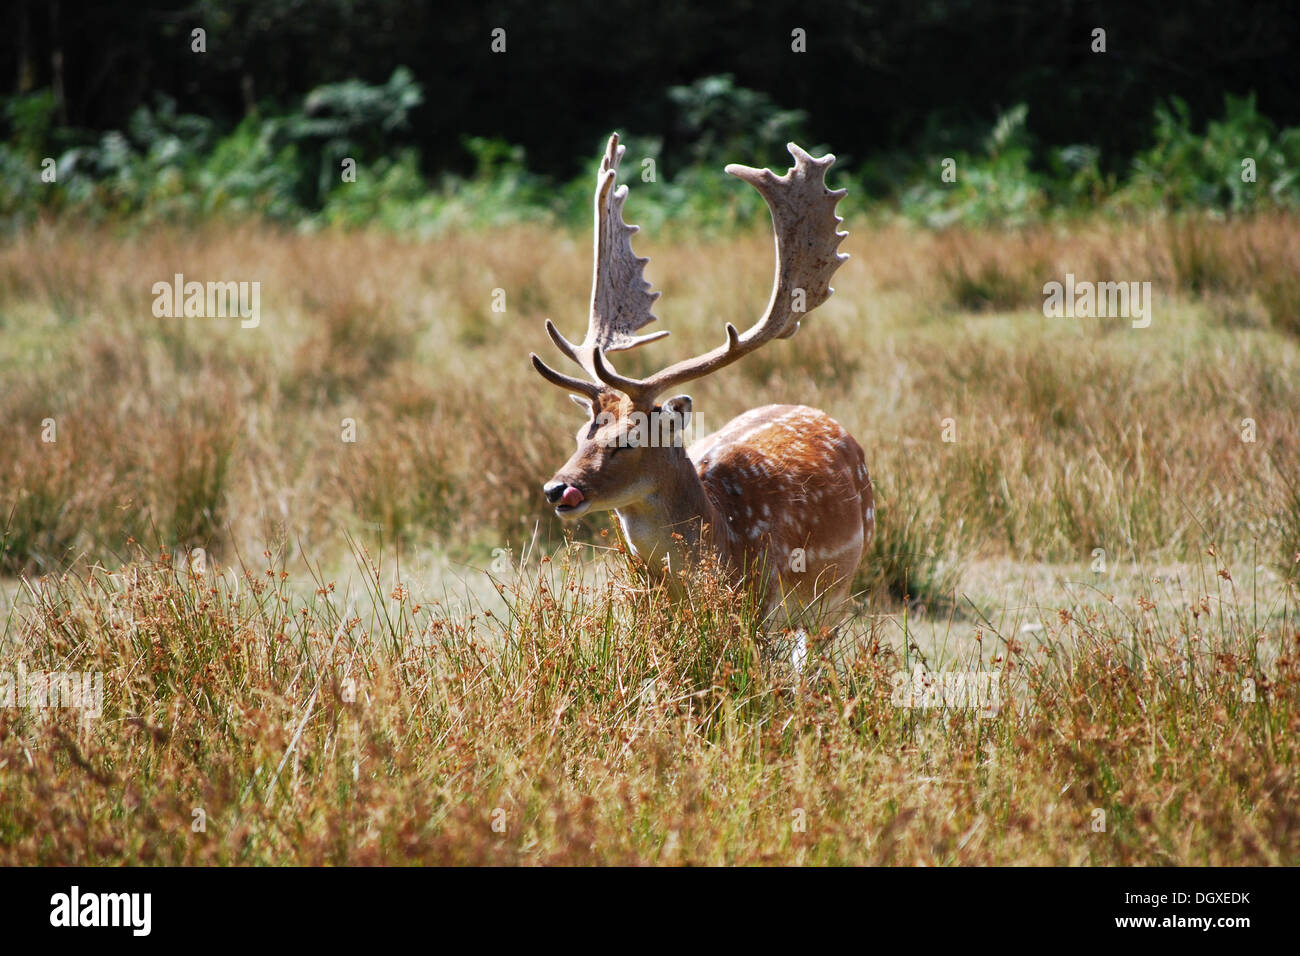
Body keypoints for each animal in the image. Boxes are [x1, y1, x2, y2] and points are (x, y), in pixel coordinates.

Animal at [530, 133, 874, 641]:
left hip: (839, 590)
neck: (724, 543)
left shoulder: (758, 607)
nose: (557, 489)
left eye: (628, 440)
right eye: (579, 435)